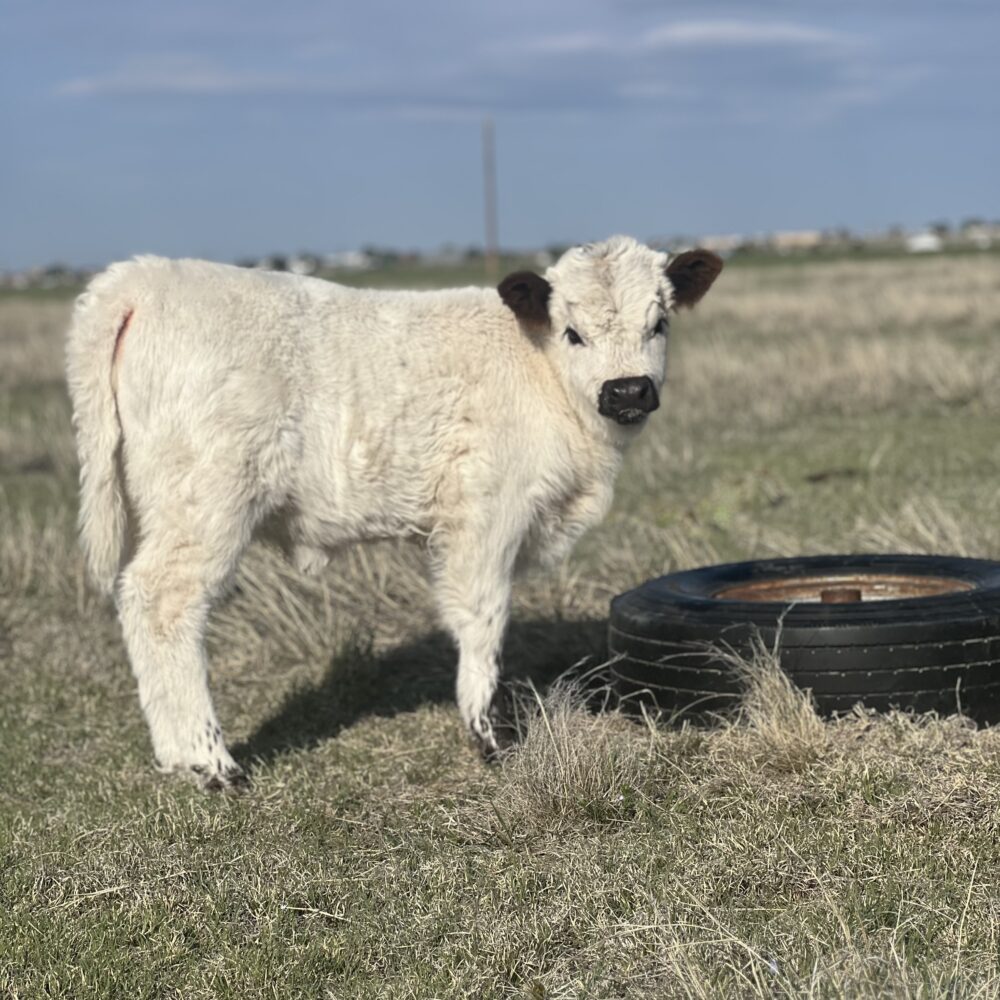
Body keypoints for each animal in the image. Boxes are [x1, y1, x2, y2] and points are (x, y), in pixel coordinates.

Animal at [66, 236, 722, 789]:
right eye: (573, 333)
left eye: (659, 323)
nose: (627, 390)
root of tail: (145, 277)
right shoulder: (486, 514)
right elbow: (482, 617)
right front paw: (488, 735)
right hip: (206, 502)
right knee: (162, 602)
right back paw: (209, 761)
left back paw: (177, 757)